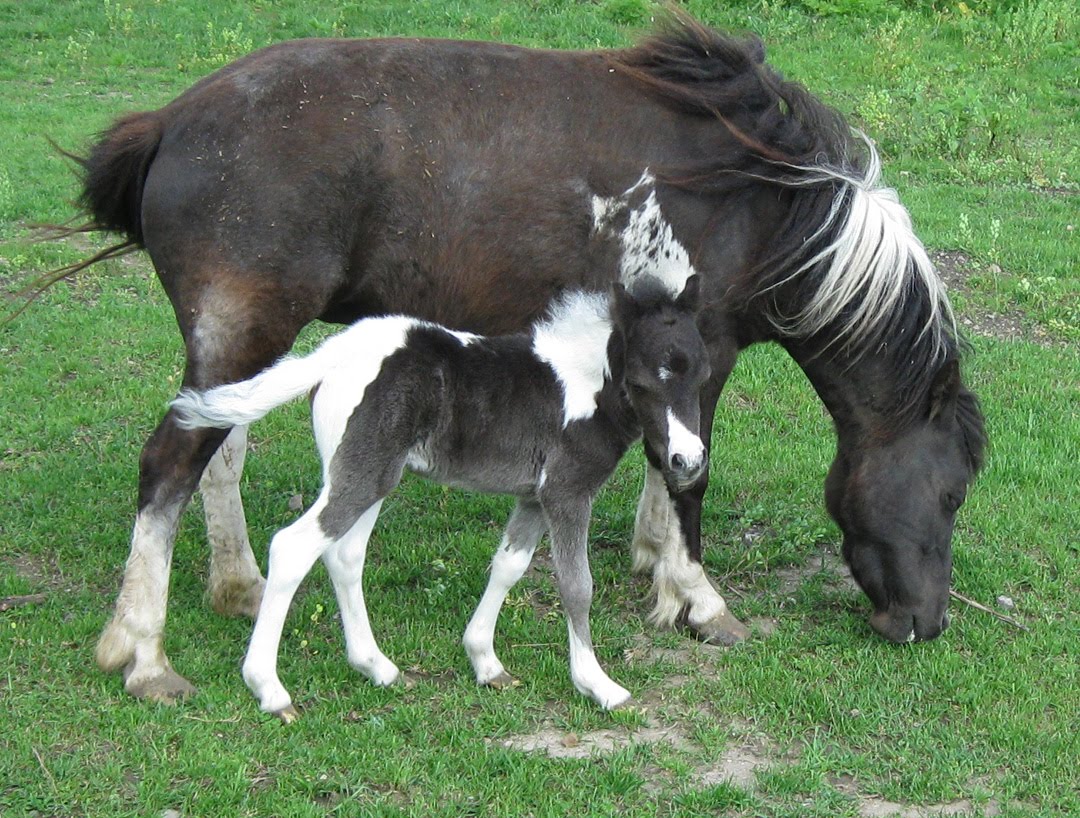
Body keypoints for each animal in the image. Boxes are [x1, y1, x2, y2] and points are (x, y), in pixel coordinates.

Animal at [170, 276, 708, 719]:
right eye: (641, 382)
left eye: (702, 377)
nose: (687, 459)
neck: (583, 385)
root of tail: (333, 354)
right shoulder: (568, 493)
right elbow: (577, 586)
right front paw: (598, 686)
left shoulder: (534, 497)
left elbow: (508, 565)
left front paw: (486, 661)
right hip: (362, 475)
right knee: (294, 546)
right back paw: (269, 689)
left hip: (370, 475)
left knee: (344, 554)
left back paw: (376, 666)